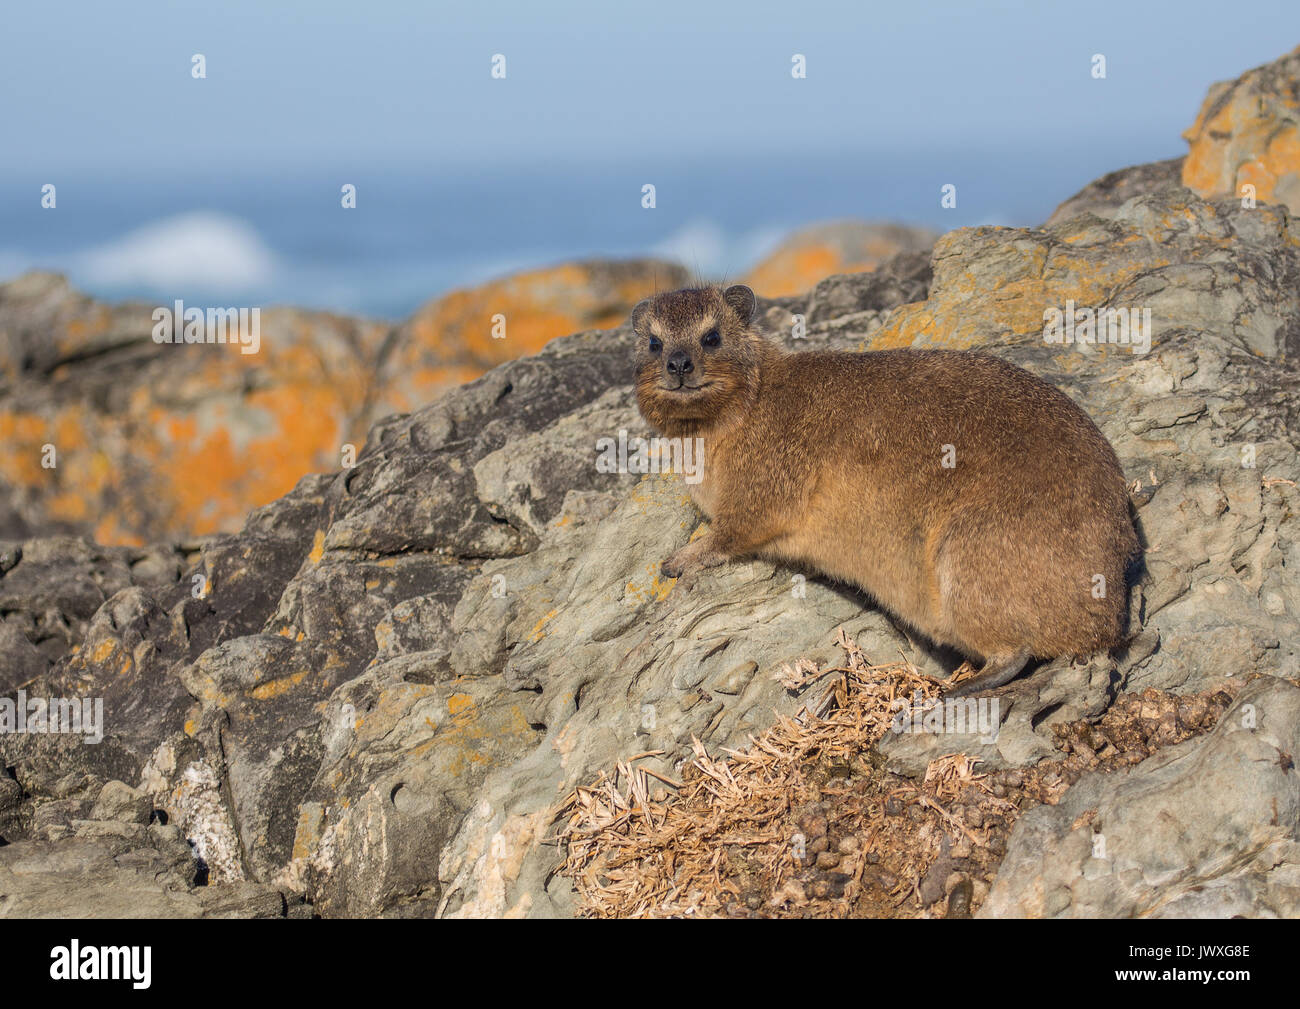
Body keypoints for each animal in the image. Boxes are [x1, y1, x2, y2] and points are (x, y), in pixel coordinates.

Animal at [632, 284, 1139, 697]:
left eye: (711, 337)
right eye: (654, 342)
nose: (678, 364)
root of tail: (1106, 622)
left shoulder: (766, 484)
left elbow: (730, 533)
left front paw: (679, 559)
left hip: (968, 554)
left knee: (1013, 649)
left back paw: (953, 691)